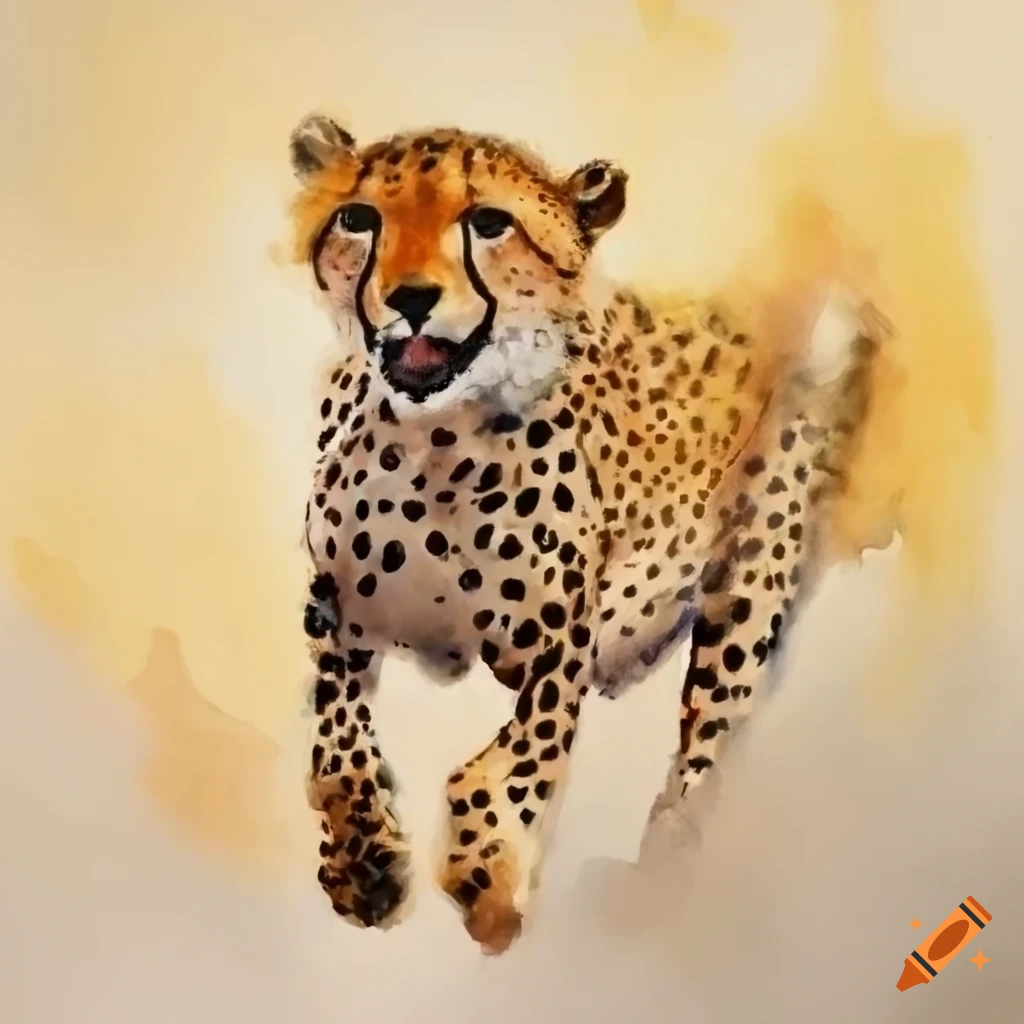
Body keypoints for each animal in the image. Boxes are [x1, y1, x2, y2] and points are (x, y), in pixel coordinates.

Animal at [285, 112, 888, 955]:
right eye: (360, 218)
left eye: (488, 223)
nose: (411, 298)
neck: (429, 440)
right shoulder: (333, 611)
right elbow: (338, 738)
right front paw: (365, 864)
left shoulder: (561, 638)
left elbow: (520, 754)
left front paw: (486, 878)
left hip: (750, 593)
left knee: (702, 757)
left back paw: (657, 889)